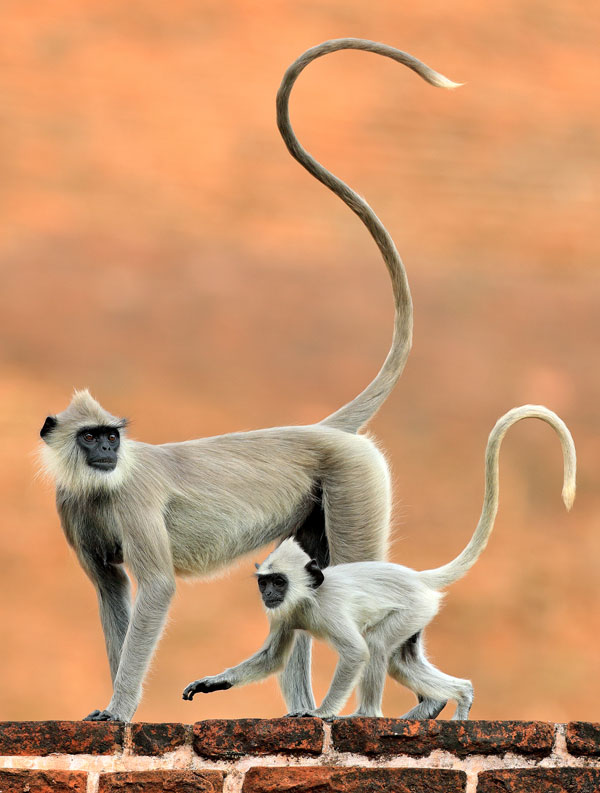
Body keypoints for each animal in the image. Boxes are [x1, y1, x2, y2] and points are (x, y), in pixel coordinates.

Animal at [39, 39, 460, 722]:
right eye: (90, 437)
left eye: (112, 435)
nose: (105, 450)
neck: (102, 484)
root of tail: (320, 430)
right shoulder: (72, 506)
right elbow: (111, 593)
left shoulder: (131, 498)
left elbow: (155, 589)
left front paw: (120, 711)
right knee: (308, 583)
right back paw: (306, 709)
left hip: (355, 481)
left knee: (350, 574)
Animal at [182, 405, 576, 720]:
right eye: (265, 582)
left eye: (279, 581)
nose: (268, 594)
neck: (310, 596)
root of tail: (417, 578)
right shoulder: (286, 613)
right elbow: (271, 658)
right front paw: (211, 683)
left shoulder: (328, 610)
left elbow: (356, 653)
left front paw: (320, 713)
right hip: (417, 619)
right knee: (402, 662)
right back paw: (461, 696)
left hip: (412, 609)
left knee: (375, 646)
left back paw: (364, 714)